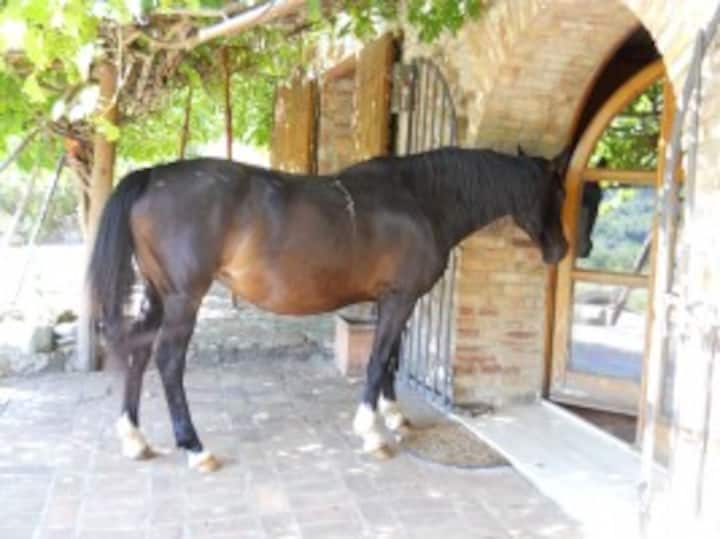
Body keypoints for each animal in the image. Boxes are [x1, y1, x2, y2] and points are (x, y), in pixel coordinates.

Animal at [87, 146, 570, 472]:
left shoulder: (390, 299)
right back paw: (194, 447)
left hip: (157, 295)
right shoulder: (400, 298)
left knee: (139, 352)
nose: (561, 250)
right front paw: (372, 433)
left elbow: (389, 358)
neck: (420, 199)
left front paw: (394, 416)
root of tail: (153, 176)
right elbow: (378, 360)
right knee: (168, 361)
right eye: (558, 191)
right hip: (184, 299)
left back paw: (135, 438)